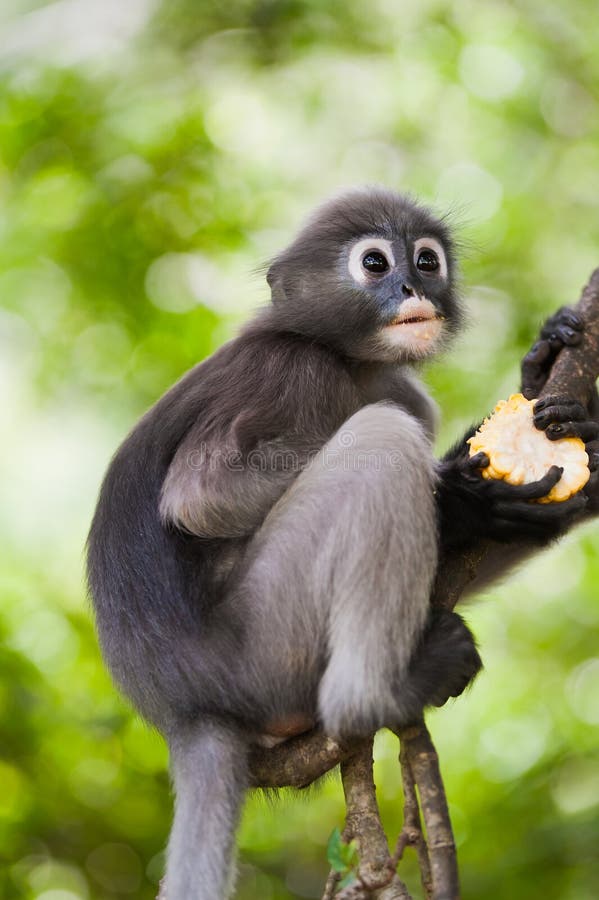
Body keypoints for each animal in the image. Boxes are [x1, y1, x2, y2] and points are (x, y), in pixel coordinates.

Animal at [86, 189, 598, 900]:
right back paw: (378, 695)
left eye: (426, 259)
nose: (413, 286)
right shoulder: (289, 371)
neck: (351, 361)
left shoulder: (403, 389)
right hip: (267, 641)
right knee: (382, 439)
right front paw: (458, 499)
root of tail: (184, 708)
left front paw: (545, 367)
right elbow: (201, 496)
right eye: (375, 263)